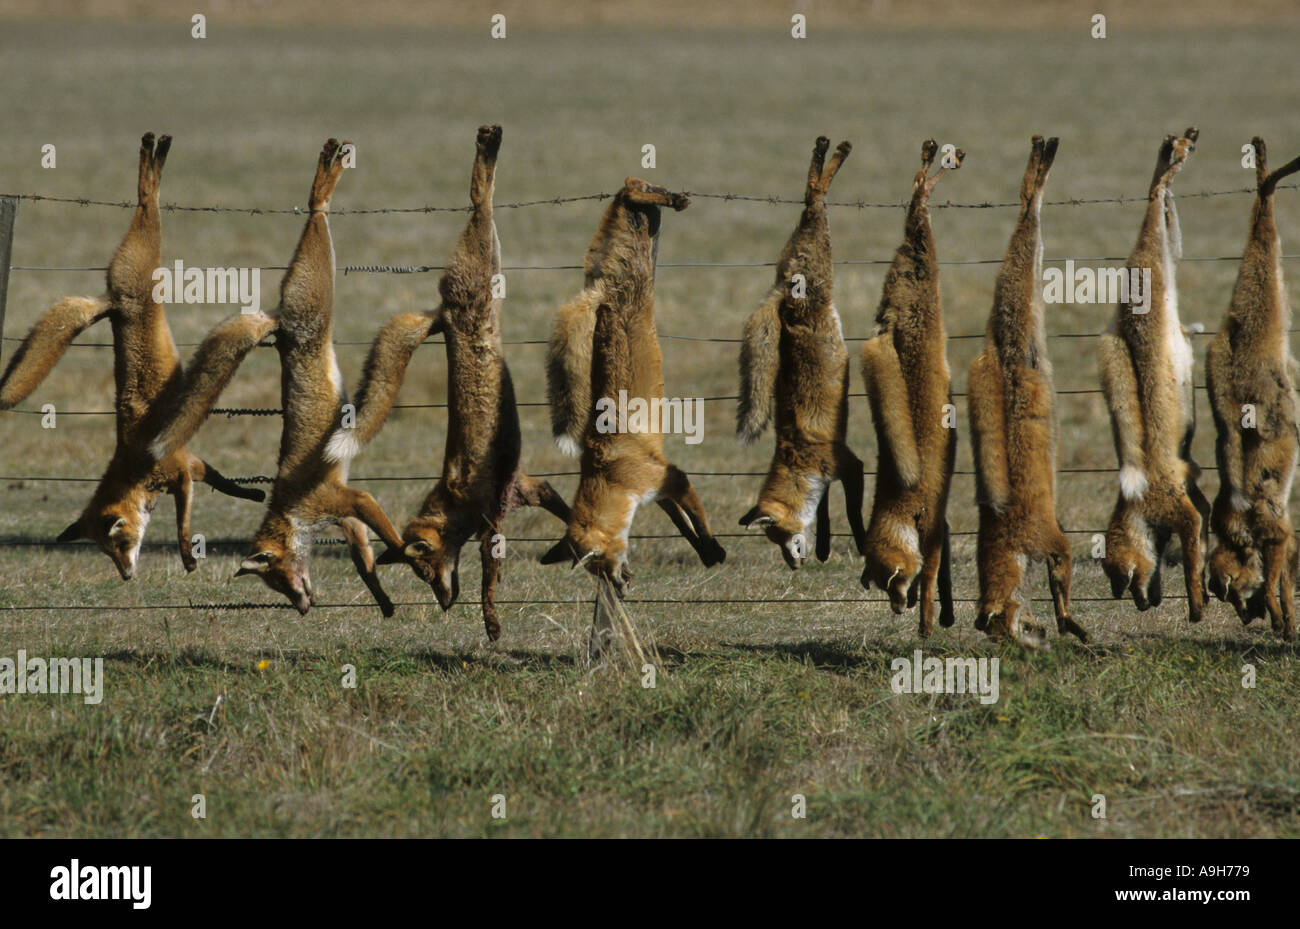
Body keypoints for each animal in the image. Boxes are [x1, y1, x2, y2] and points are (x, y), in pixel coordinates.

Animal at [0, 132, 262, 579]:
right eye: (108, 553)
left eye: (120, 544)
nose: (125, 576)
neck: (135, 470)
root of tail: (116, 304)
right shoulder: (189, 464)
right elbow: (218, 484)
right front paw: (249, 499)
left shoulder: (182, 468)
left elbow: (192, 514)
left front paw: (190, 552)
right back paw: (154, 151)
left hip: (148, 245)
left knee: (147, 203)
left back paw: (153, 156)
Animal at [148, 139, 404, 616]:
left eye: (281, 579)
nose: (303, 608)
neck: (293, 513)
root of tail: (280, 325)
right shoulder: (347, 516)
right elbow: (364, 563)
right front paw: (385, 603)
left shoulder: (347, 499)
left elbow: (387, 536)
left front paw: (405, 555)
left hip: (318, 293)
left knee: (317, 214)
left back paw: (325, 179)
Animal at [323, 125, 570, 641]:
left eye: (426, 569)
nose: (443, 603)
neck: (456, 504)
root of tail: (446, 318)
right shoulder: (525, 489)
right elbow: (561, 519)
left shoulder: (496, 517)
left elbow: (490, 582)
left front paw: (492, 622)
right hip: (486, 258)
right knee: (481, 199)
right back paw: (488, 142)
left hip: (482, 261)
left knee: (479, 199)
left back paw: (487, 144)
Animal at [542, 178, 726, 592]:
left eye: (600, 564)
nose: (621, 588)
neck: (609, 477)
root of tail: (604, 294)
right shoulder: (659, 487)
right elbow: (681, 523)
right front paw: (707, 554)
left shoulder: (671, 477)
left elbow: (697, 522)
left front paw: (715, 550)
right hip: (635, 247)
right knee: (629, 197)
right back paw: (659, 195)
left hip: (636, 265)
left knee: (631, 190)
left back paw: (665, 196)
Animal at [735, 136, 866, 570]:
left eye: (781, 538)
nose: (794, 566)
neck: (798, 459)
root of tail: (781, 294)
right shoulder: (826, 480)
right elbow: (824, 514)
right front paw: (825, 546)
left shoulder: (849, 465)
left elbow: (854, 514)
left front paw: (863, 546)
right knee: (812, 195)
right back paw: (828, 152)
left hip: (822, 260)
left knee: (816, 199)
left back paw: (834, 153)